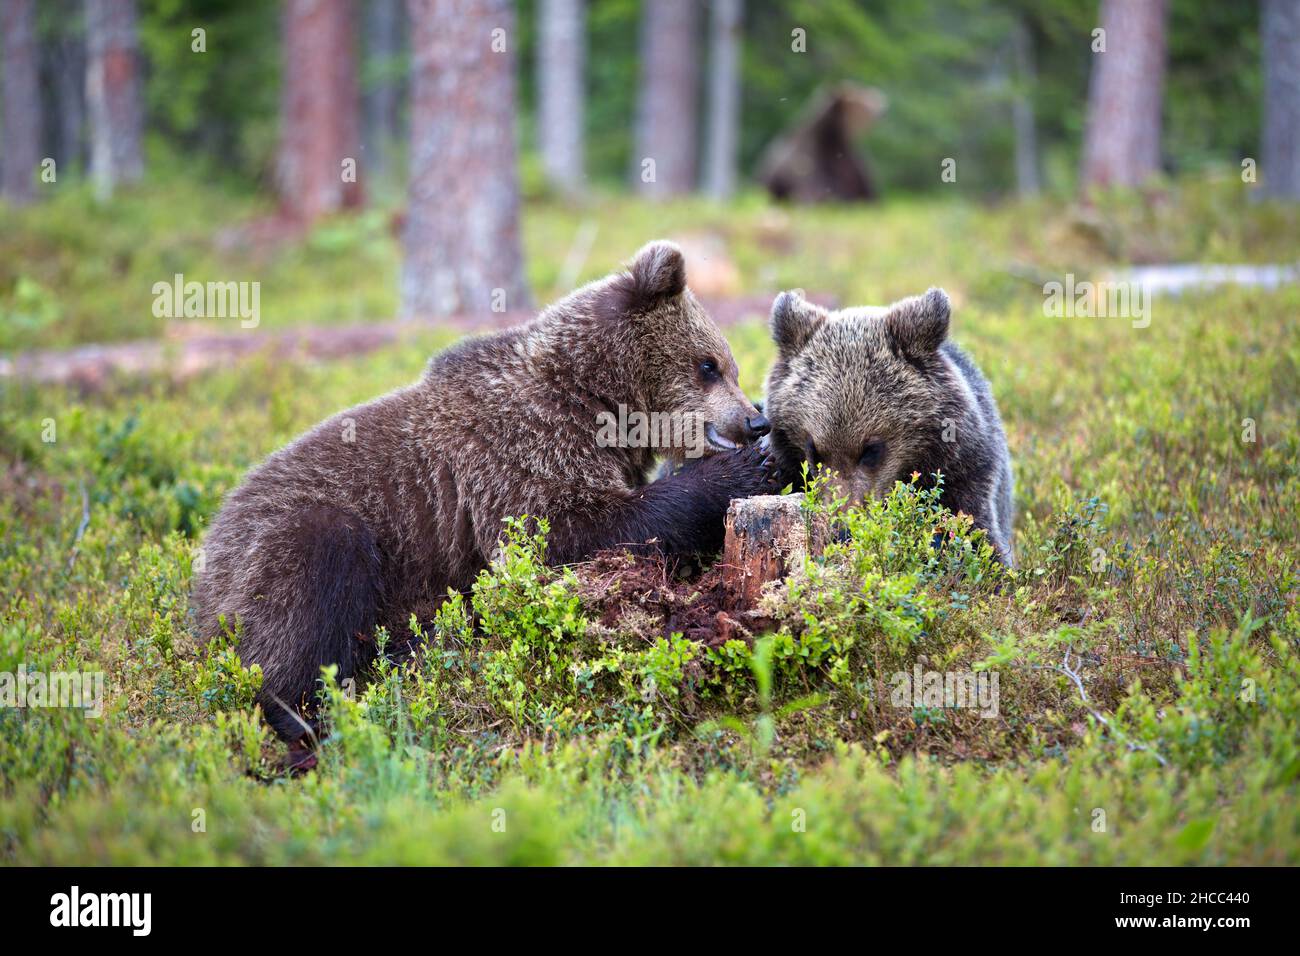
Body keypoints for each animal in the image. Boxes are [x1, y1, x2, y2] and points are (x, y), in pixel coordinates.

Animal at [192, 241, 778, 741]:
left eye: (730, 365)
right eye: (709, 365)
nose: (755, 422)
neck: (596, 400)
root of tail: (199, 579)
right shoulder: (517, 455)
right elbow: (565, 536)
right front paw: (747, 469)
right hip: (276, 554)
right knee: (310, 586)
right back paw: (310, 719)